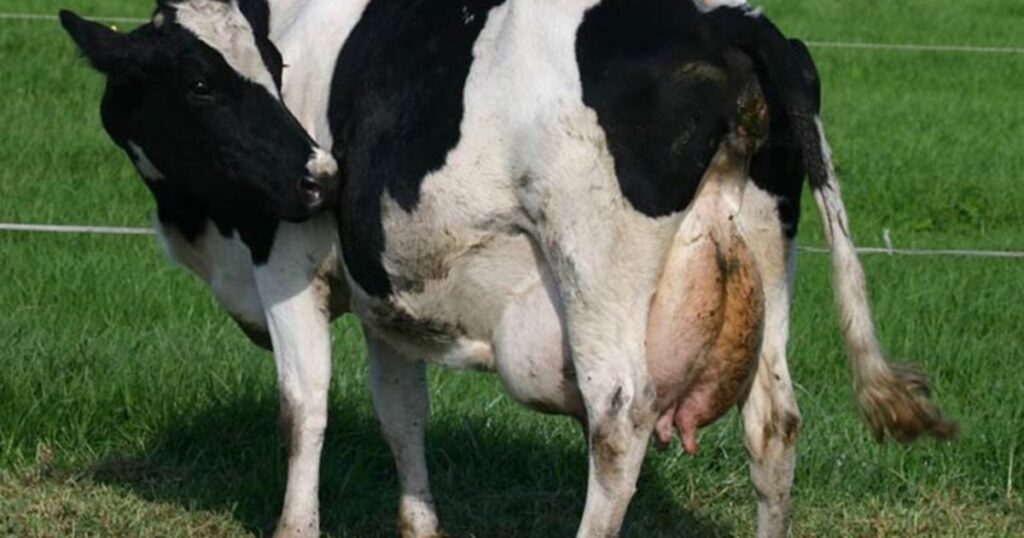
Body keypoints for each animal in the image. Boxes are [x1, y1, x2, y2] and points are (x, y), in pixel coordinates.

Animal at [60, 0, 957, 537]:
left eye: (263, 70)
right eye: (201, 80)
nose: (319, 178)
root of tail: (729, 21)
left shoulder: (288, 264)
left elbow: (302, 409)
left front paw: (296, 525)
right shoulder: (386, 296)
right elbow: (401, 415)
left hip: (595, 270)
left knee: (618, 423)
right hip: (769, 260)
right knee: (773, 425)